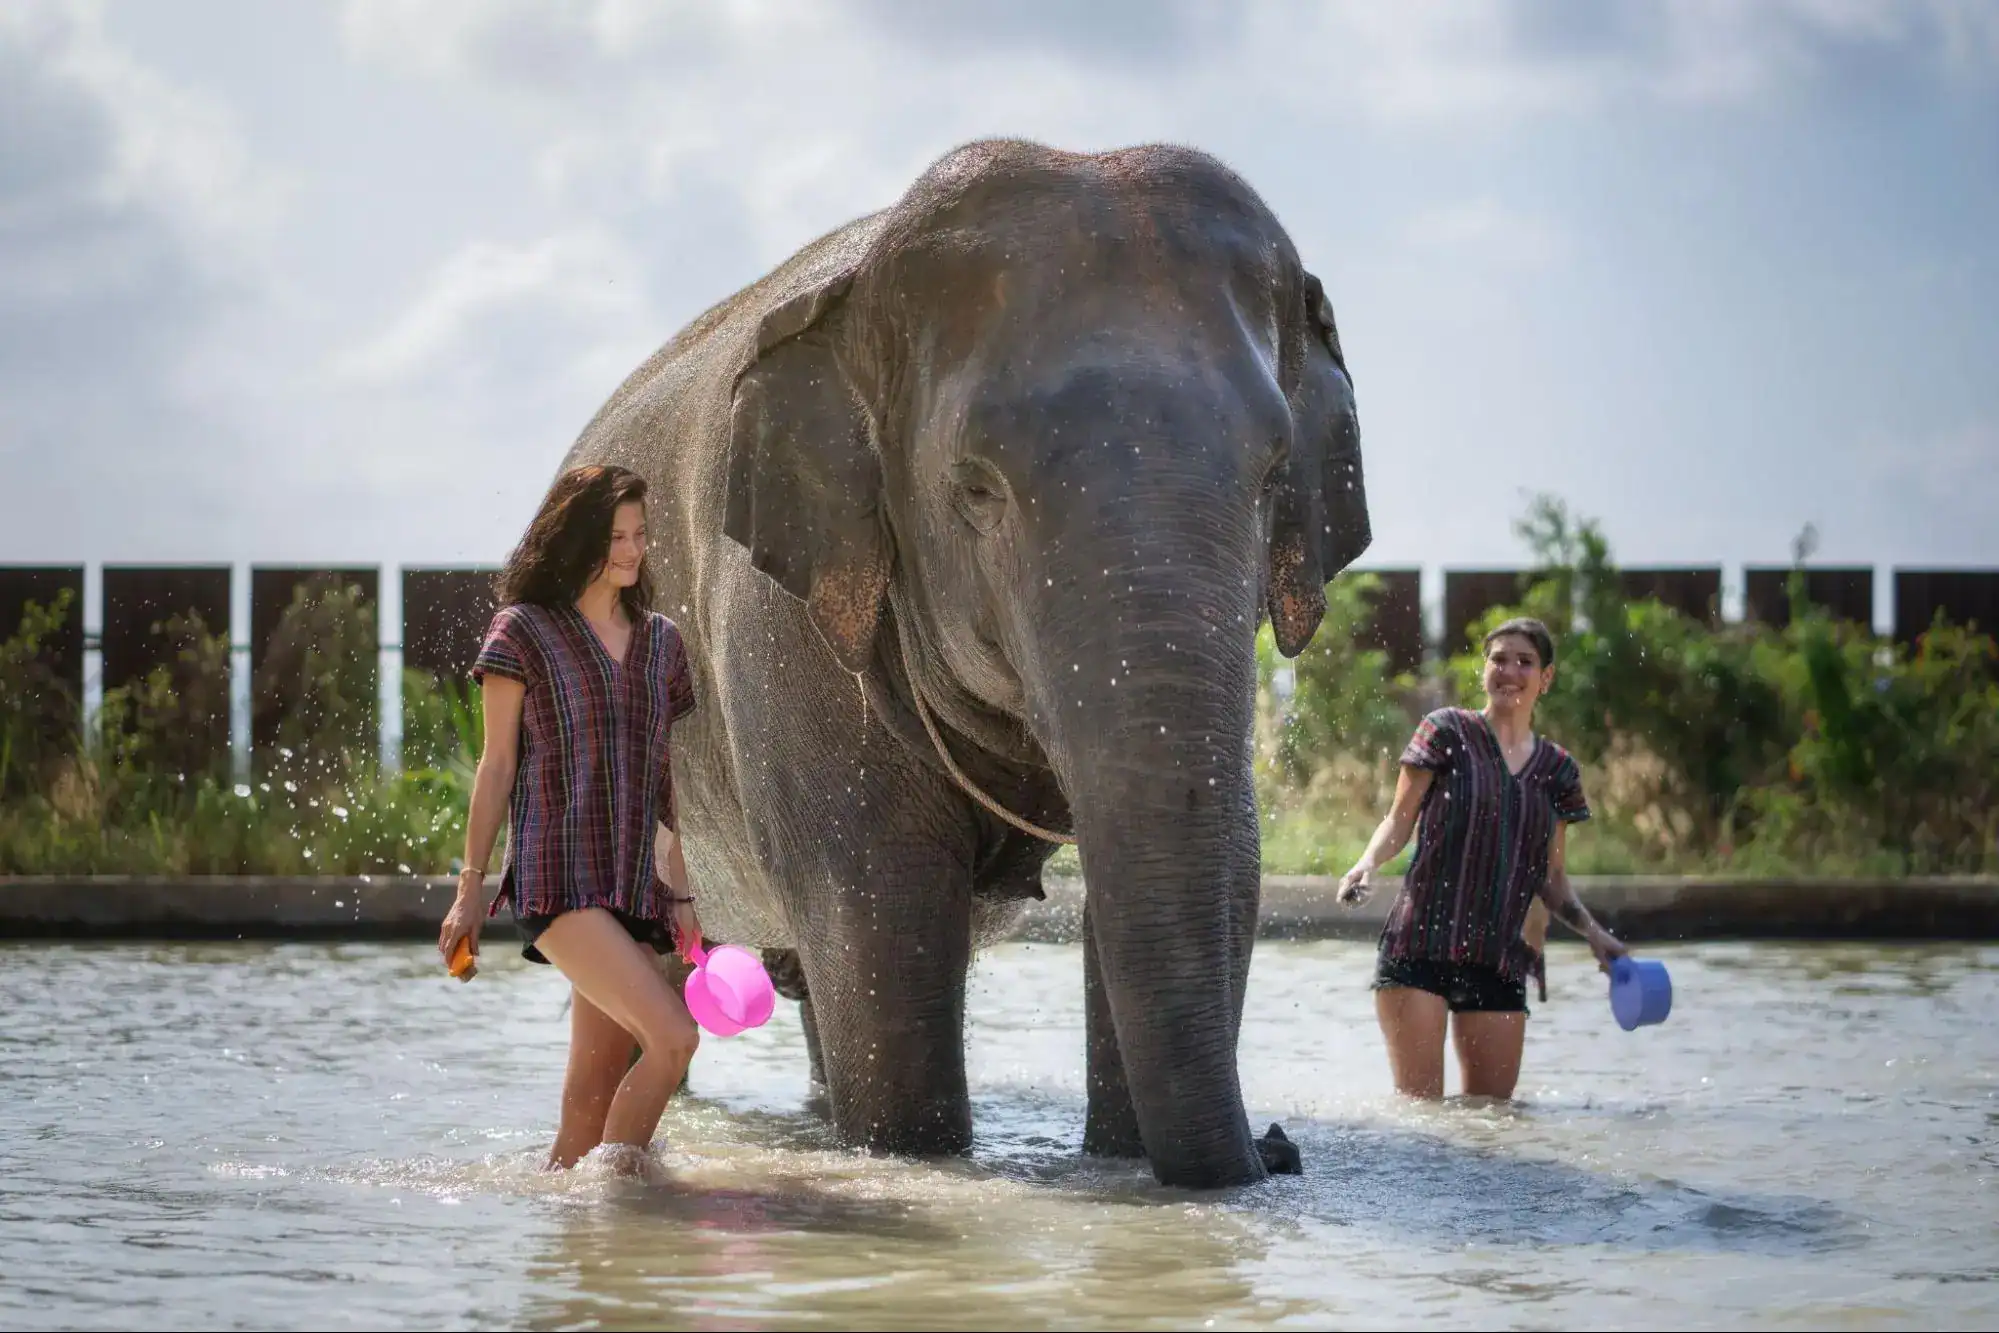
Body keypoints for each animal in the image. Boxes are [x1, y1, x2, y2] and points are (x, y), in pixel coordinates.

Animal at [561, 139, 1369, 1188]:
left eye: (1275, 476)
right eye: (975, 489)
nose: (1278, 1147)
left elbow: (1219, 863)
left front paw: (1122, 1159)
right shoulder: (782, 630)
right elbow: (878, 907)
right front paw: (910, 1156)